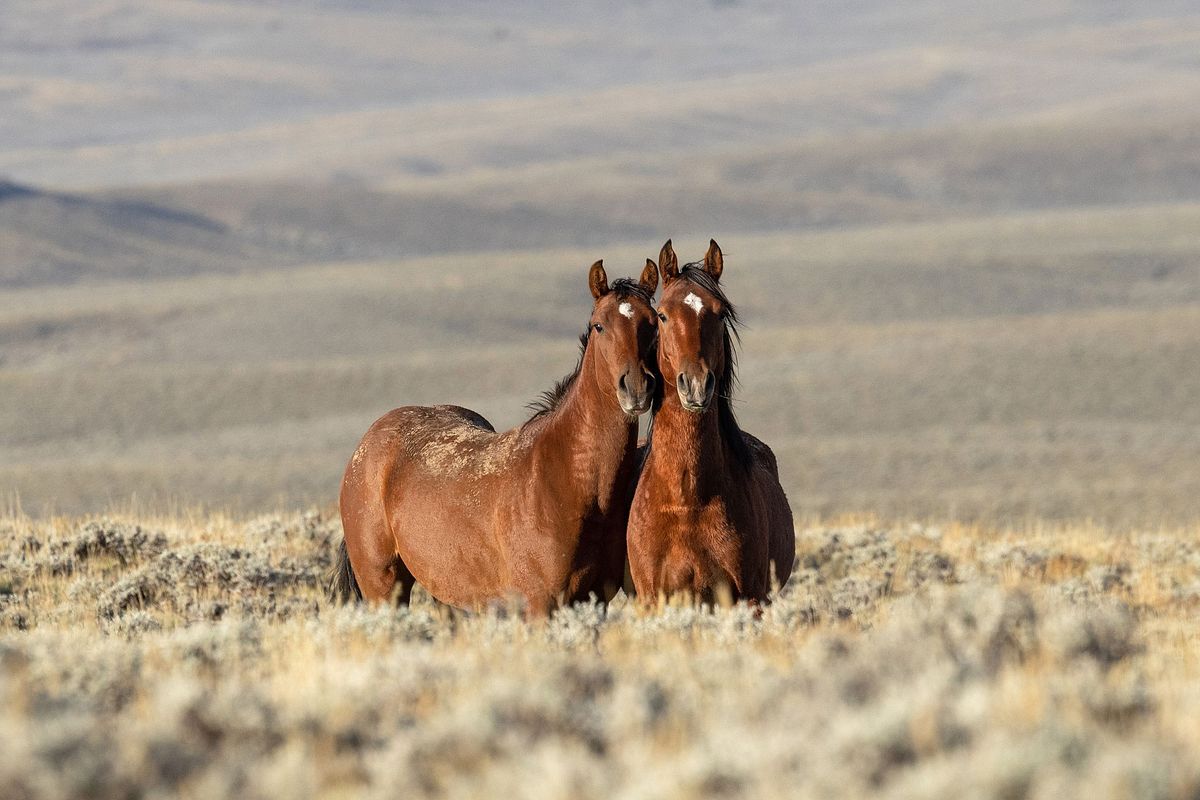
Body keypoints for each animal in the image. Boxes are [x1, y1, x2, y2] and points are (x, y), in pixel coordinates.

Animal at [330, 259, 660, 615]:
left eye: (653, 322)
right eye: (599, 325)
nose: (637, 388)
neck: (567, 476)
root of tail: (368, 441)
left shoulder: (594, 599)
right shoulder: (540, 604)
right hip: (384, 586)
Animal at [627, 239, 795, 604]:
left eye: (719, 313)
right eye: (662, 315)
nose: (696, 384)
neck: (688, 500)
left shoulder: (747, 598)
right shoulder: (653, 599)